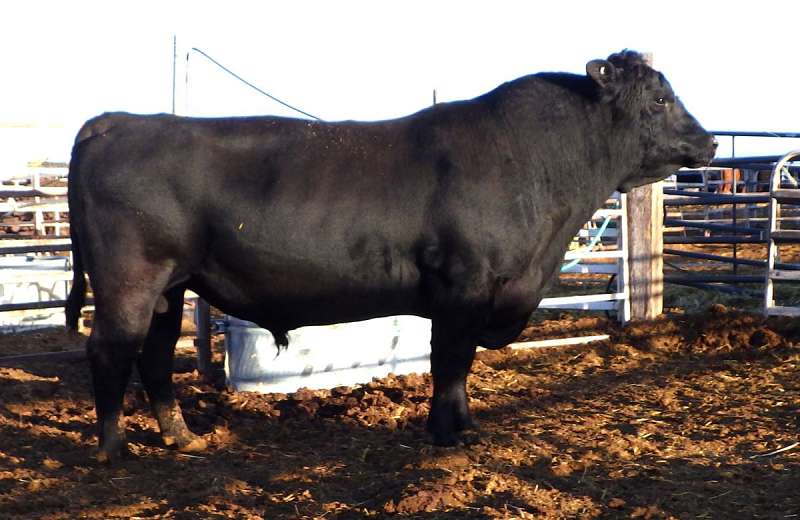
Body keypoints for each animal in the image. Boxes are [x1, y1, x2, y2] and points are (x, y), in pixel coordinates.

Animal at [65, 50, 716, 462]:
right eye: (660, 98)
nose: (708, 141)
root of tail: (118, 122)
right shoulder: (464, 289)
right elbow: (451, 363)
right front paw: (452, 434)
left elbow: (454, 365)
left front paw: (458, 427)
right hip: (130, 281)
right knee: (110, 352)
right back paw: (112, 450)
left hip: (170, 288)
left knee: (153, 358)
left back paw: (183, 438)